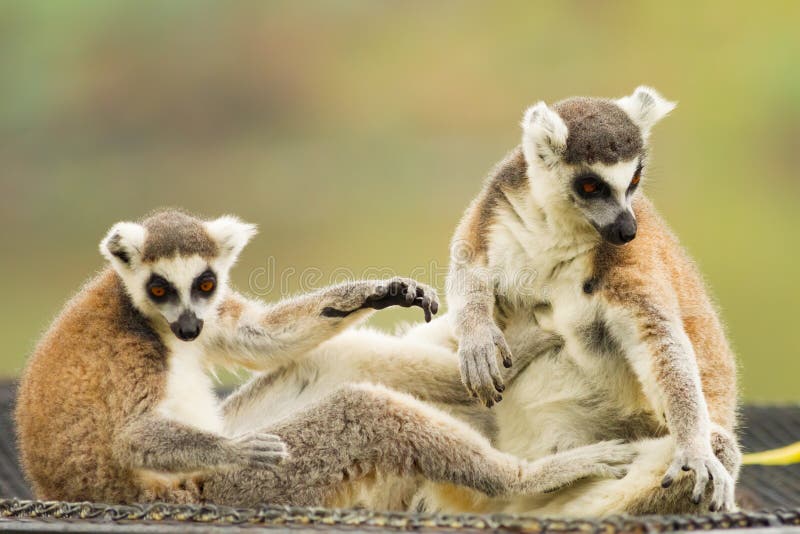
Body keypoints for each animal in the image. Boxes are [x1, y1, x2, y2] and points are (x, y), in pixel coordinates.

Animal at [15, 209, 635, 508]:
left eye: (206, 284)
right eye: (161, 288)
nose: (189, 326)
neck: (143, 315)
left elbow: (259, 336)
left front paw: (380, 292)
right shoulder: (128, 347)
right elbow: (128, 437)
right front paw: (236, 448)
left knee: (339, 364)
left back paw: (508, 360)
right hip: (230, 488)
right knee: (360, 411)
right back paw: (527, 480)